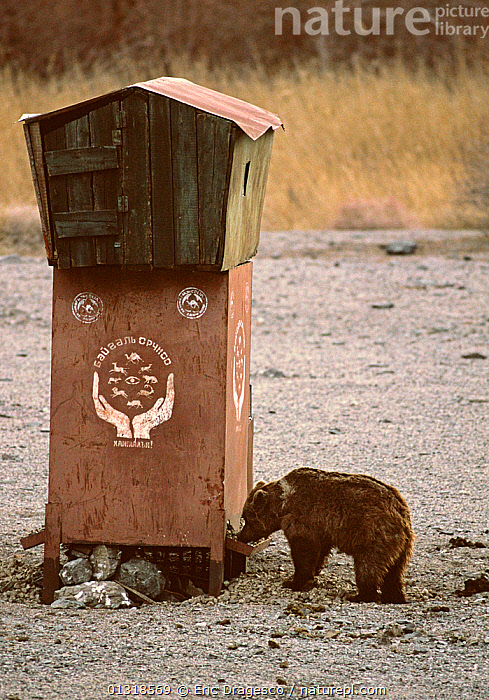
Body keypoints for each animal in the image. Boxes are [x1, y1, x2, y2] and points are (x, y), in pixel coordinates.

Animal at [238, 467, 414, 603]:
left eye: (246, 518)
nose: (240, 536)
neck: (282, 505)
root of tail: (400, 512)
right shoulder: (321, 528)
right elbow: (319, 550)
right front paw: (313, 573)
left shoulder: (304, 518)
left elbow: (304, 552)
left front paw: (293, 582)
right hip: (401, 545)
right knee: (394, 571)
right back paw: (394, 596)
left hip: (373, 534)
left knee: (368, 565)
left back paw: (360, 595)